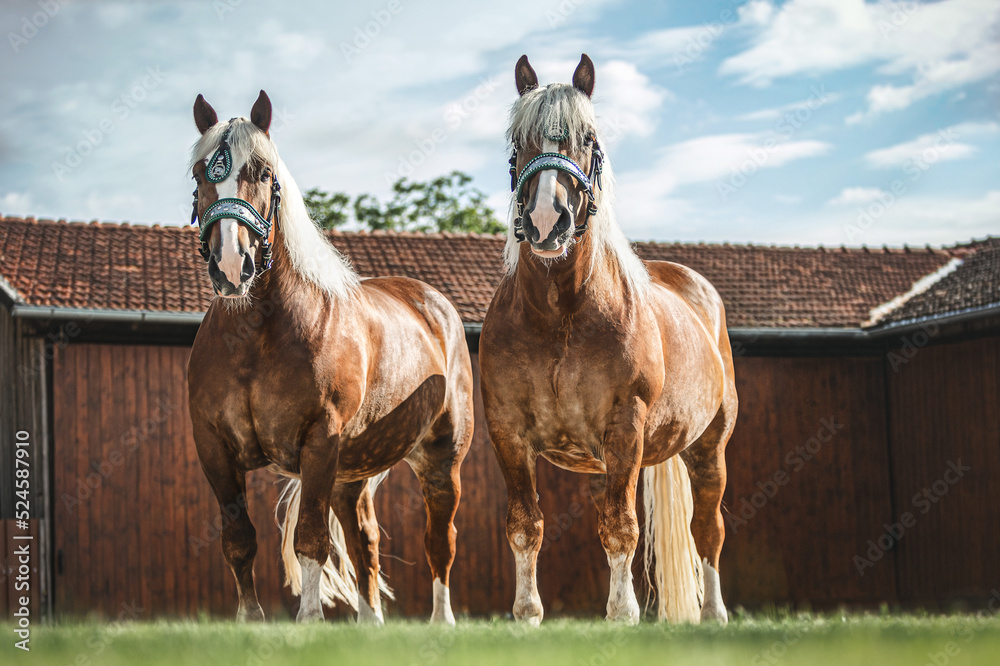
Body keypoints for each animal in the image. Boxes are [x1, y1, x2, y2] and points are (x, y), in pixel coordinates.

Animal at [186, 90, 474, 625]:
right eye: (199, 174)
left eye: (262, 172)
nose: (232, 266)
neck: (257, 336)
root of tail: (435, 304)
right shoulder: (214, 448)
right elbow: (239, 541)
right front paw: (249, 621)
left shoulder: (319, 442)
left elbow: (311, 541)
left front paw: (310, 622)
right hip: (350, 475)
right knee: (366, 543)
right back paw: (370, 620)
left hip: (440, 460)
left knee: (439, 541)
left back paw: (441, 620)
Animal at [479, 55, 737, 625]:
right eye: (518, 142)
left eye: (589, 139)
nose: (547, 221)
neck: (560, 315)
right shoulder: (509, 434)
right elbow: (524, 526)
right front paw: (527, 614)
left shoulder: (625, 429)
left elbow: (621, 529)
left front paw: (622, 614)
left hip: (709, 449)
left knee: (707, 532)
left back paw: (713, 614)